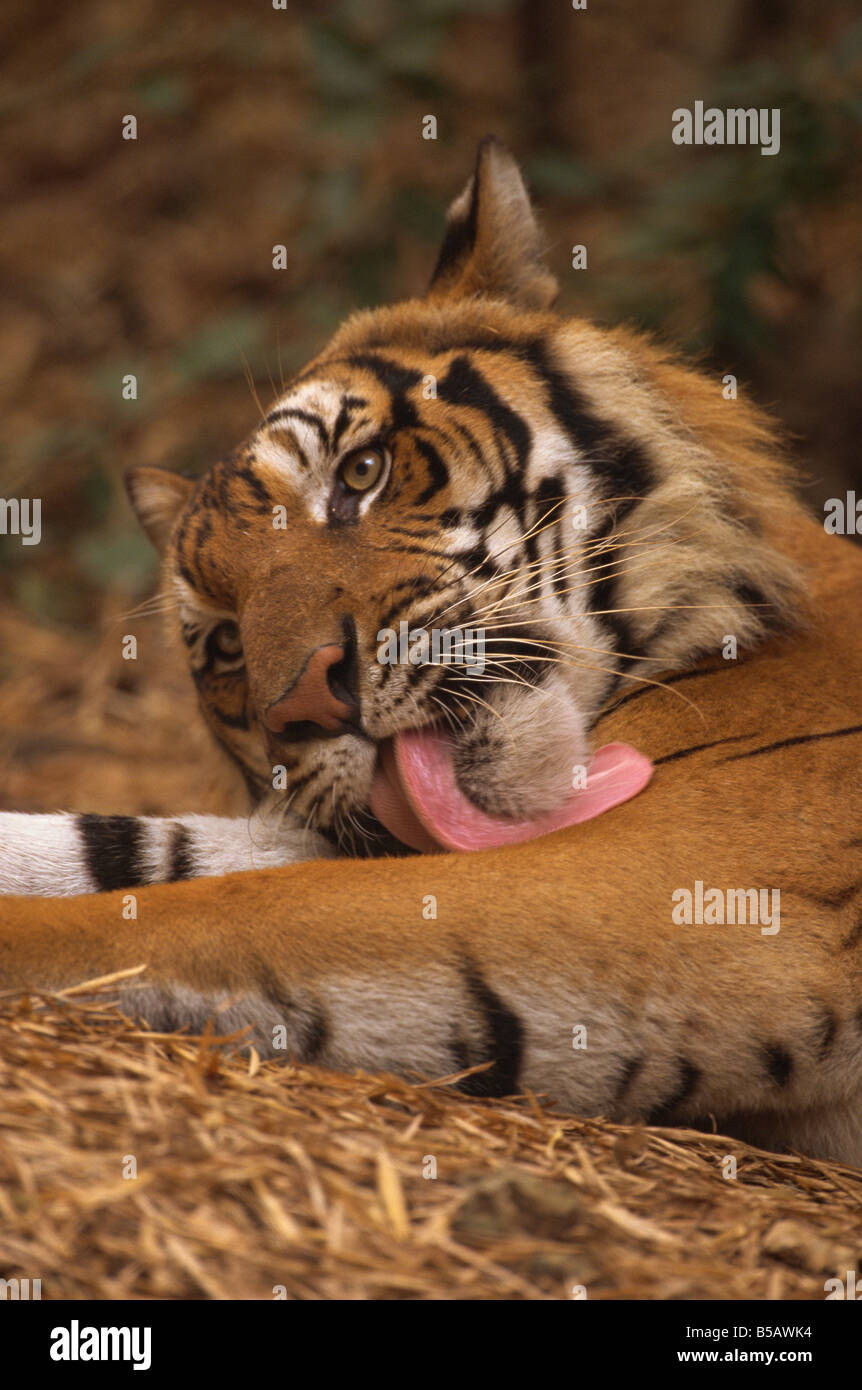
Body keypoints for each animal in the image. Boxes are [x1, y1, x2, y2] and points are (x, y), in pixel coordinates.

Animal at [2, 138, 862, 1166]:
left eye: (361, 473)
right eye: (224, 643)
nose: (305, 705)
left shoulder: (669, 874)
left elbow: (206, 911)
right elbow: (130, 850)